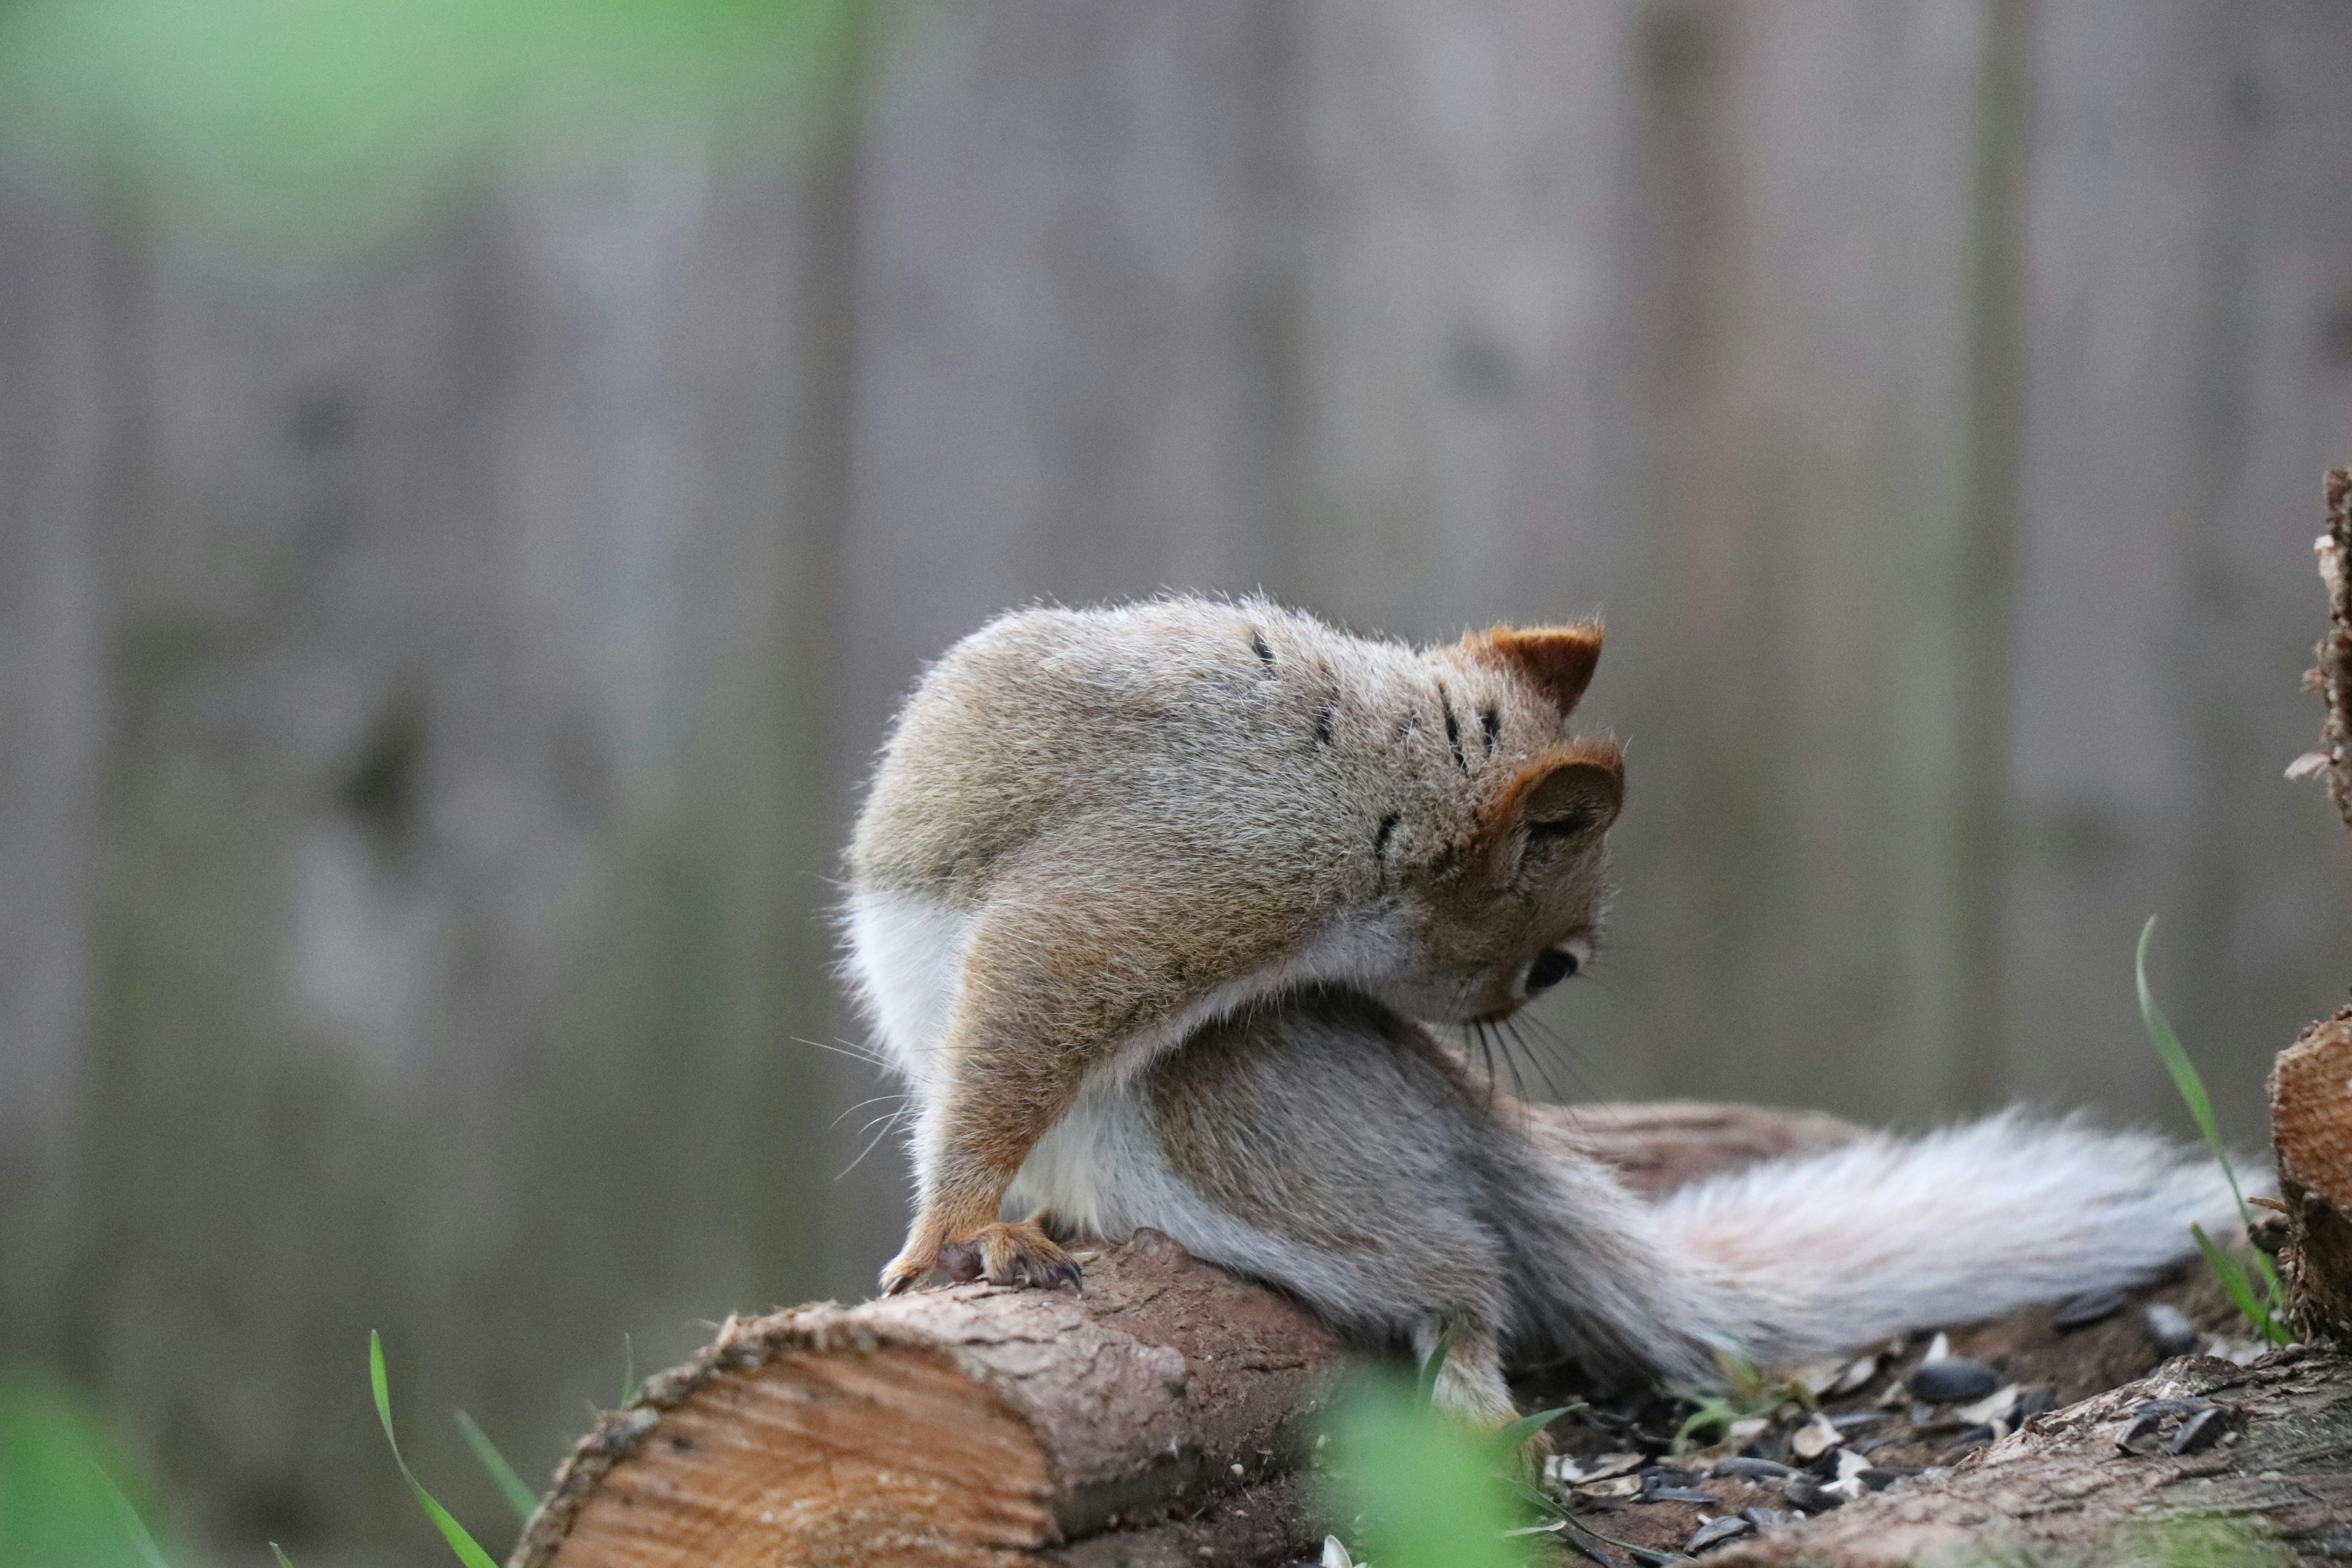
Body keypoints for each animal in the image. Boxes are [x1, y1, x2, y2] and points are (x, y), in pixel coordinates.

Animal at [843, 596, 2243, 1430]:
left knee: (1464, 1274)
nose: (1510, 1013)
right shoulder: (1192, 874)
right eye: (1558, 962)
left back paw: (1470, 1387)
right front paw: (959, 1225)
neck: (1375, 788)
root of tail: (1457, 1121)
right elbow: (1034, 995)